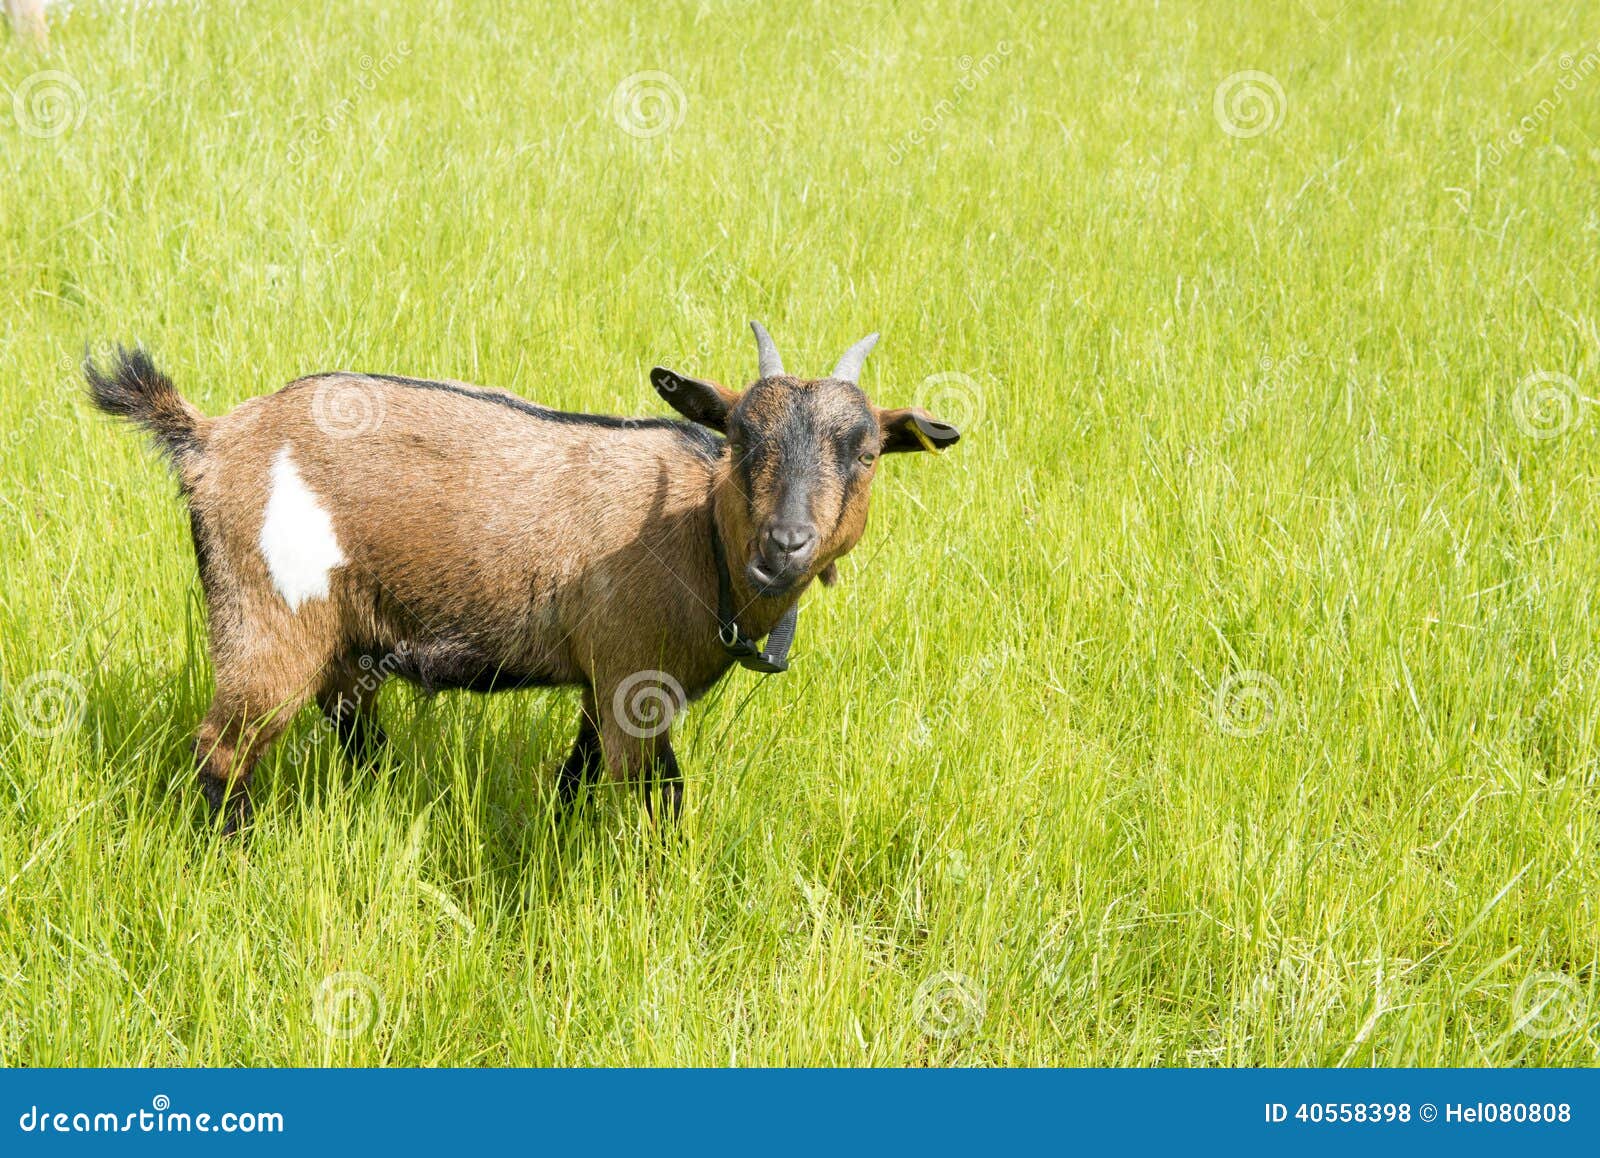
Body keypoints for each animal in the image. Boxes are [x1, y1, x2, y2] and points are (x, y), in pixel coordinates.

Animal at [86, 324, 960, 832]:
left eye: (867, 453)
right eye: (741, 437)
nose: (784, 544)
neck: (696, 532)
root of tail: (211, 438)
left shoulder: (603, 678)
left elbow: (576, 775)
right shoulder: (634, 678)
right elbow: (659, 794)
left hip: (344, 634)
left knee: (350, 727)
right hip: (266, 616)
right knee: (224, 750)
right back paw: (233, 852)